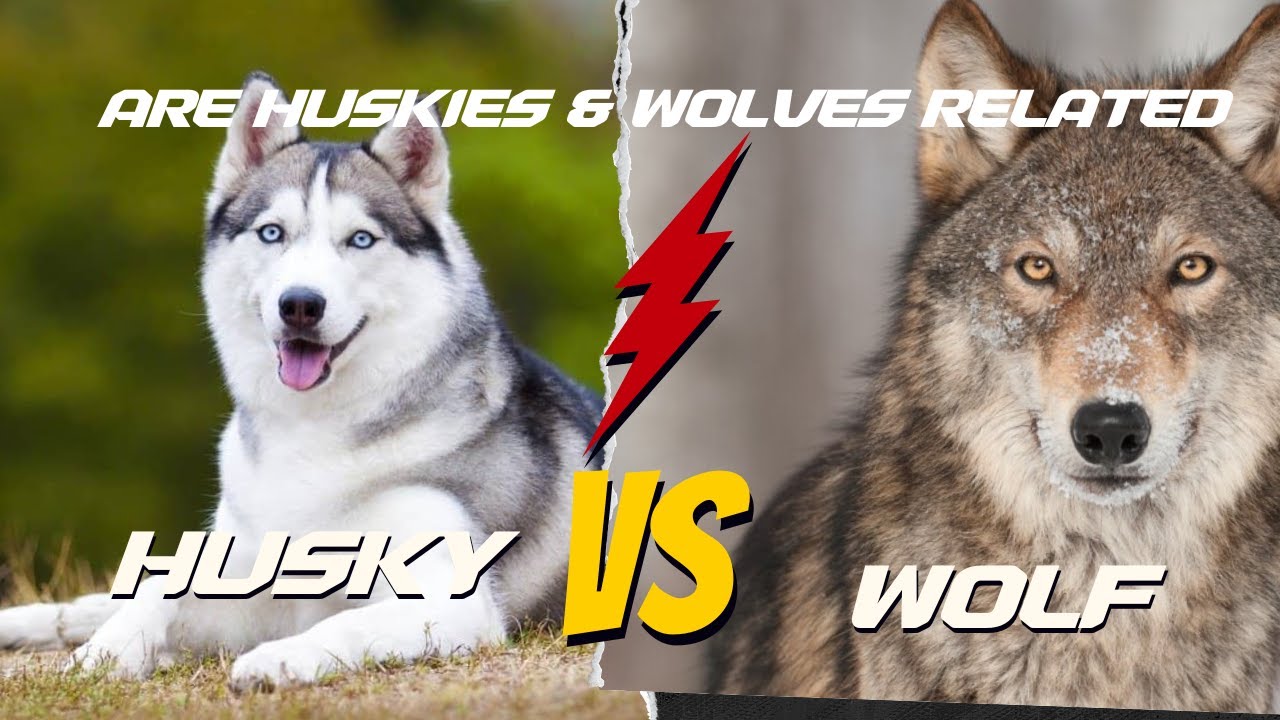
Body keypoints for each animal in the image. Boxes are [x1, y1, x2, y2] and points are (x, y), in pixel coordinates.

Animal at [0, 73, 602, 690]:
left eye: (360, 239)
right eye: (273, 233)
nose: (300, 305)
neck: (312, 432)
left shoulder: (452, 600)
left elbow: (347, 624)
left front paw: (277, 658)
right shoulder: (250, 572)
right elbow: (161, 591)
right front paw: (104, 653)